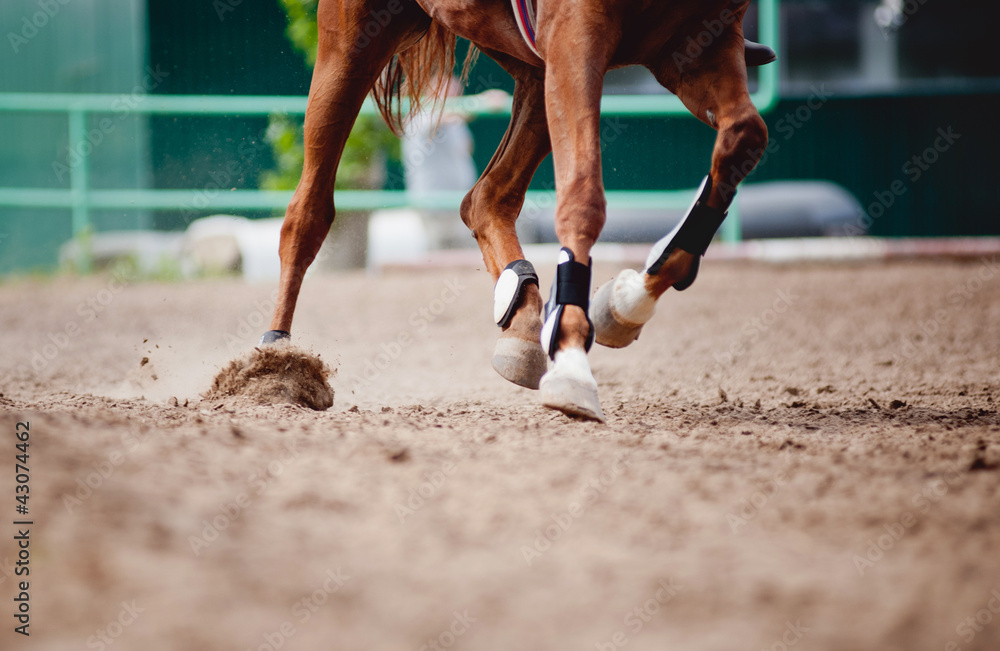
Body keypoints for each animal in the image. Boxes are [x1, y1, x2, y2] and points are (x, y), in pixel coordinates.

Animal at [259, 0, 775, 422]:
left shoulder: (699, 40)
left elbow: (745, 137)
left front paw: (624, 304)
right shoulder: (577, 34)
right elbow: (583, 196)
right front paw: (573, 362)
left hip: (529, 60)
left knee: (485, 199)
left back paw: (524, 322)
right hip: (355, 41)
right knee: (308, 212)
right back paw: (273, 363)